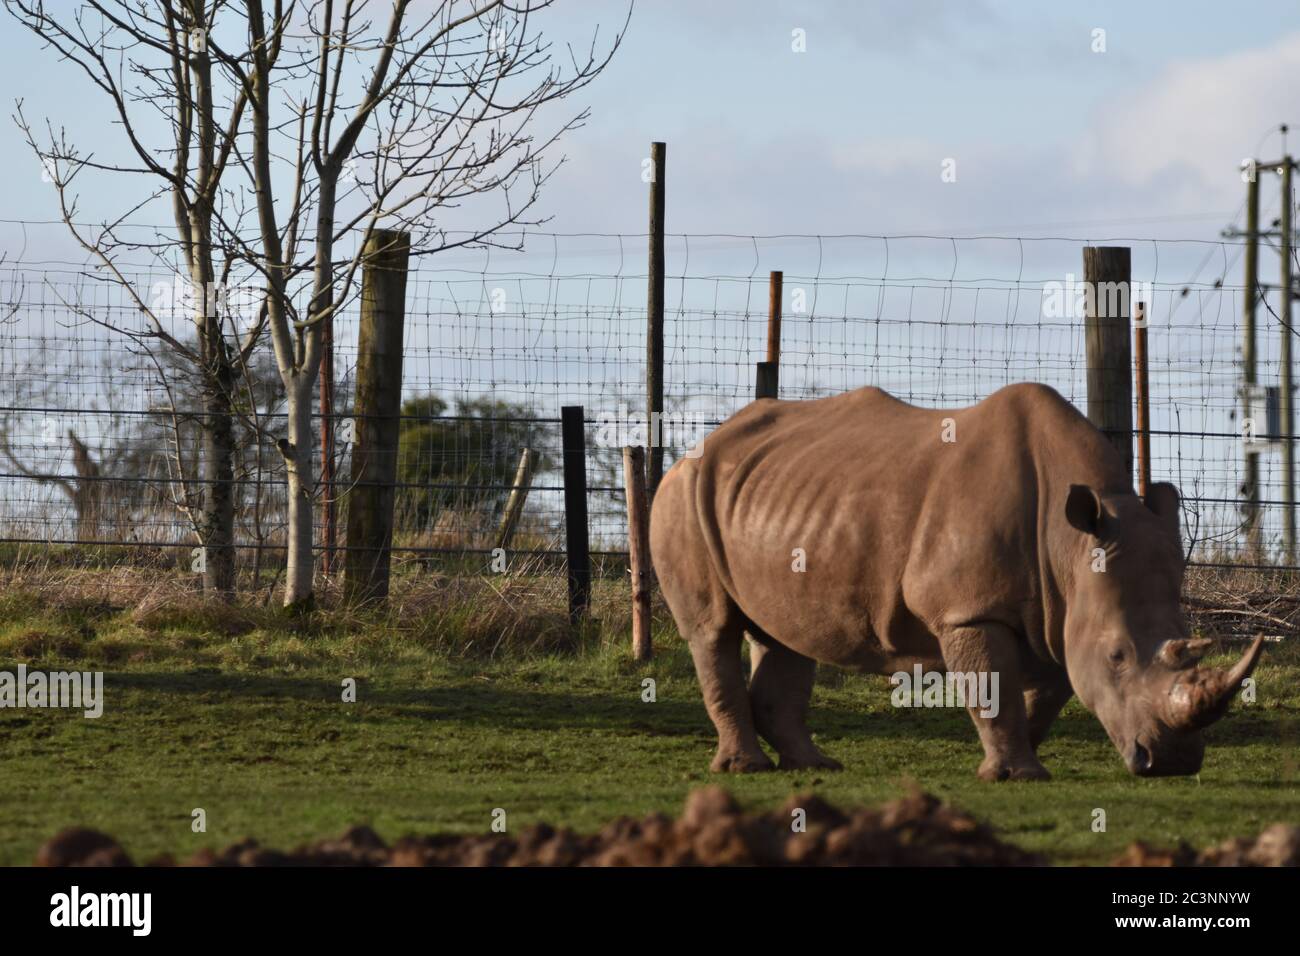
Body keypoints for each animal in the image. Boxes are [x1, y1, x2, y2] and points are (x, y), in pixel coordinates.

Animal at [650, 382, 1264, 780]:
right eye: (1117, 656)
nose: (1173, 765)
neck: (1069, 545)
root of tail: (696, 447)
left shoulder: (1060, 611)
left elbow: (1044, 690)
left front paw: (1019, 760)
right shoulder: (969, 609)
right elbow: (994, 685)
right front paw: (1016, 774)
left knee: (787, 633)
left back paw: (814, 766)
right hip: (682, 494)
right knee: (713, 630)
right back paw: (746, 769)